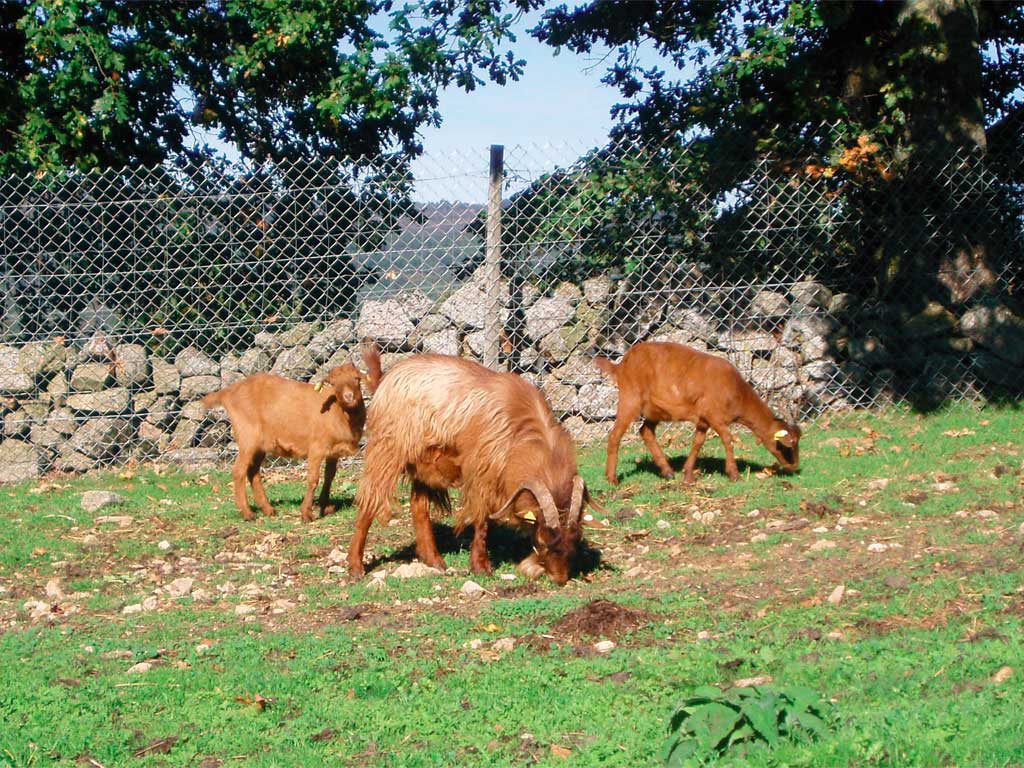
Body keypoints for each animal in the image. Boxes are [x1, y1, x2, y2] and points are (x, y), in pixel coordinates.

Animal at [202, 365, 365, 521]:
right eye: (334, 383)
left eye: (357, 378)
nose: (349, 397)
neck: (340, 413)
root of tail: (227, 392)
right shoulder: (316, 447)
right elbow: (313, 479)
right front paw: (306, 513)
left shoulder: (333, 451)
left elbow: (329, 477)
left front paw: (324, 507)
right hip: (247, 437)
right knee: (238, 471)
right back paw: (248, 513)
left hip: (260, 445)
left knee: (252, 471)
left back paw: (268, 510)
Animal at [349, 341, 592, 585]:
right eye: (542, 541)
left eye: (575, 541)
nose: (559, 578)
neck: (523, 431)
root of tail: (385, 380)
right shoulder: (482, 472)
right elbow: (482, 519)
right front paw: (481, 566)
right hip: (388, 449)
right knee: (370, 500)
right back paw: (356, 567)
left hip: (422, 464)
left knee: (419, 507)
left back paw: (434, 560)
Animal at [595, 341, 801, 484]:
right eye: (788, 443)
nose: (795, 467)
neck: (736, 390)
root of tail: (621, 364)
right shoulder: (714, 415)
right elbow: (728, 438)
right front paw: (734, 474)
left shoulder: (703, 419)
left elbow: (698, 442)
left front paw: (687, 475)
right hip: (630, 399)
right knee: (615, 435)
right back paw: (612, 479)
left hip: (654, 410)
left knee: (645, 431)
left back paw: (667, 471)